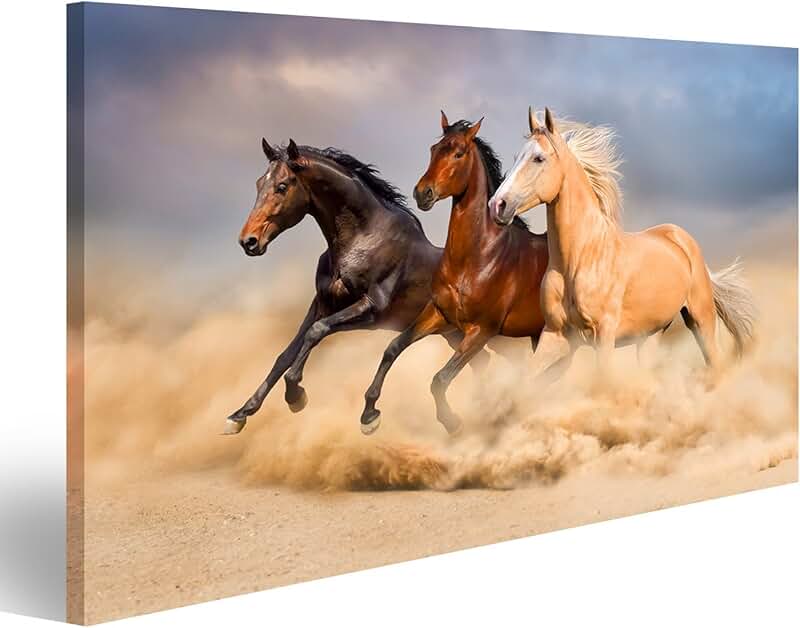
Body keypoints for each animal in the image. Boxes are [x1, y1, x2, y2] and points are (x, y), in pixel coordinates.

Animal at [224, 138, 493, 434]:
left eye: (282, 186)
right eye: (259, 183)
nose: (248, 241)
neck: (362, 239)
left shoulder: (370, 310)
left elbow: (316, 332)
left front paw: (296, 395)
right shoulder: (323, 303)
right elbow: (286, 354)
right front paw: (240, 414)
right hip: (453, 334)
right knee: (481, 362)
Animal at [359, 112, 549, 436]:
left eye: (459, 153)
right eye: (433, 149)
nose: (422, 193)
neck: (477, 259)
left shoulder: (481, 331)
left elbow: (440, 379)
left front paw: (453, 423)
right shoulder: (438, 314)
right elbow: (393, 348)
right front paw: (369, 415)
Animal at [488, 107, 756, 381]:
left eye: (538, 158)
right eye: (516, 156)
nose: (497, 205)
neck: (580, 259)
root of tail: (681, 239)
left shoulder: (604, 336)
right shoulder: (555, 334)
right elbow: (526, 380)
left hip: (701, 320)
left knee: (715, 363)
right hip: (650, 336)